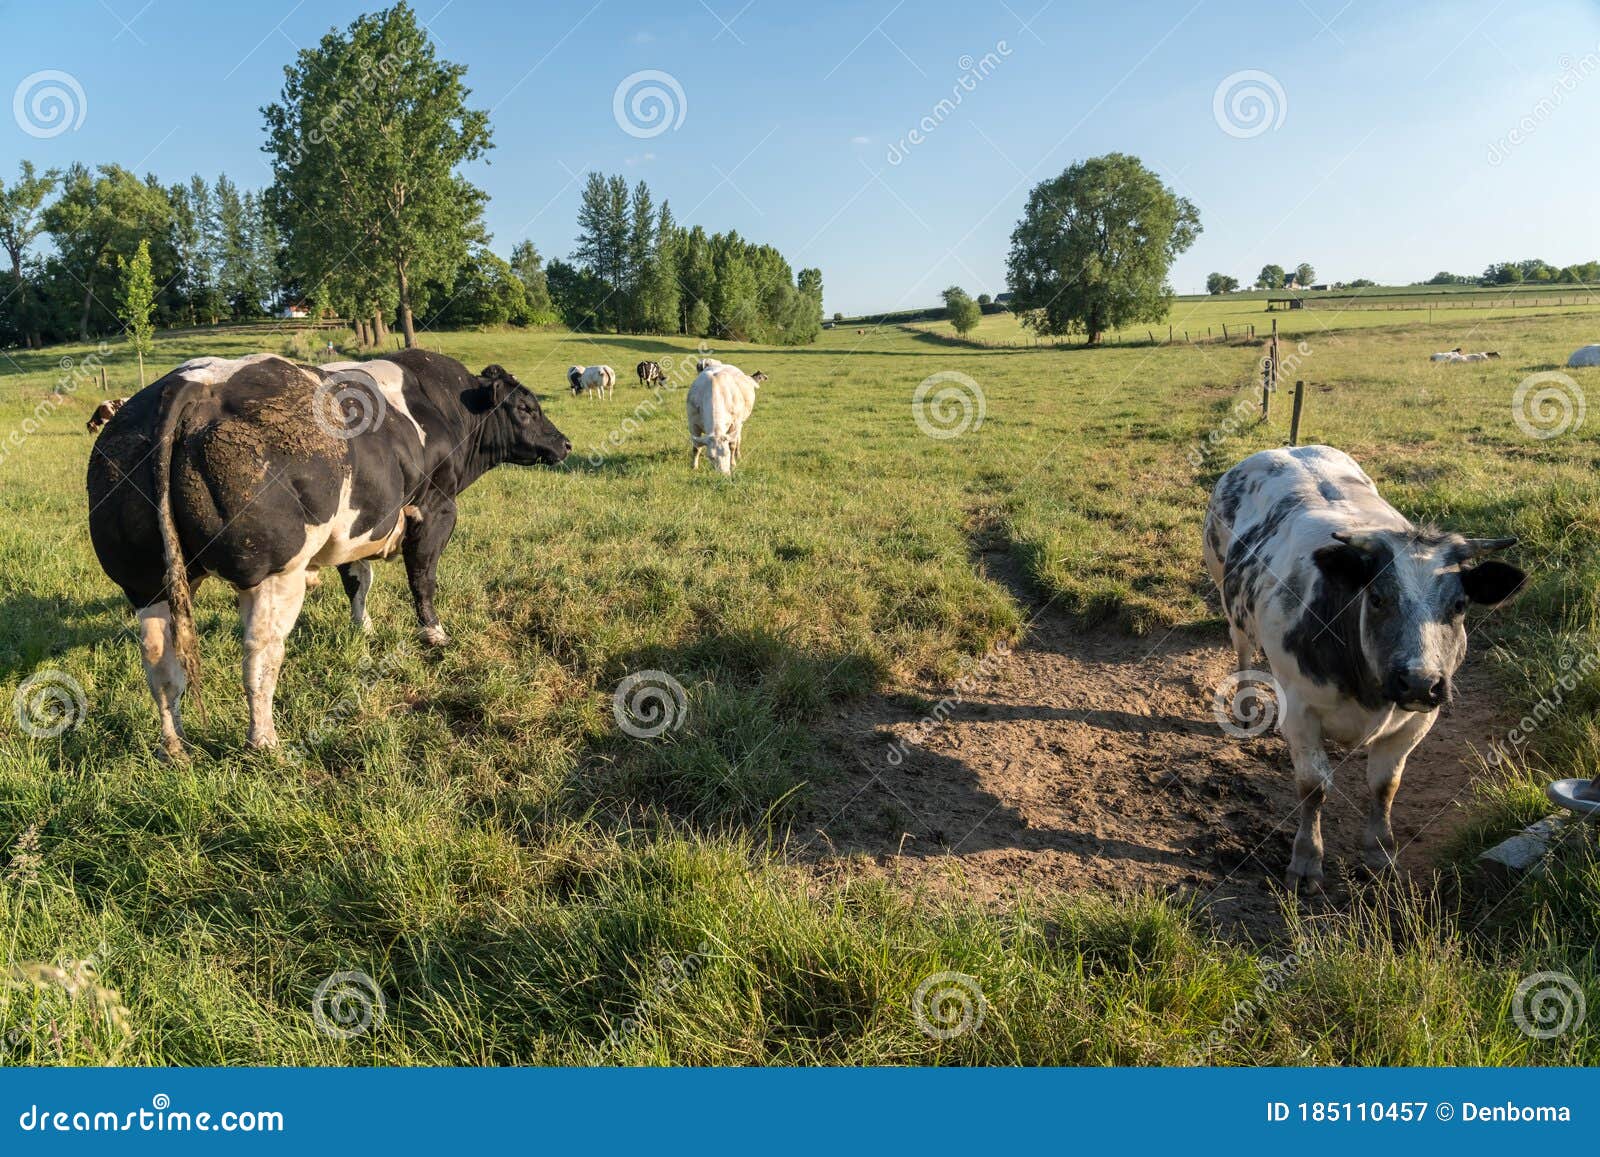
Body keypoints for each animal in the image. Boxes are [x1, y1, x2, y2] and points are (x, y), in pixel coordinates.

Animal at [87, 350, 570, 760]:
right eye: (526, 408)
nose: (564, 443)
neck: (443, 410)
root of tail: (192, 382)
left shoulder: (357, 527)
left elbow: (357, 580)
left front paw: (363, 629)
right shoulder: (435, 510)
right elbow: (422, 578)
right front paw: (434, 634)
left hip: (146, 582)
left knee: (160, 665)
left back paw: (176, 748)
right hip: (276, 574)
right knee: (260, 654)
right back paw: (264, 741)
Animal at [1203, 446, 1525, 890]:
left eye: (1459, 605)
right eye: (1377, 599)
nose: (1419, 683)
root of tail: (1287, 448)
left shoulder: (1418, 720)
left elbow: (1385, 786)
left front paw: (1379, 853)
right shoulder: (1298, 709)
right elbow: (1313, 787)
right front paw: (1306, 860)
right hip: (1225, 589)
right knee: (1243, 648)